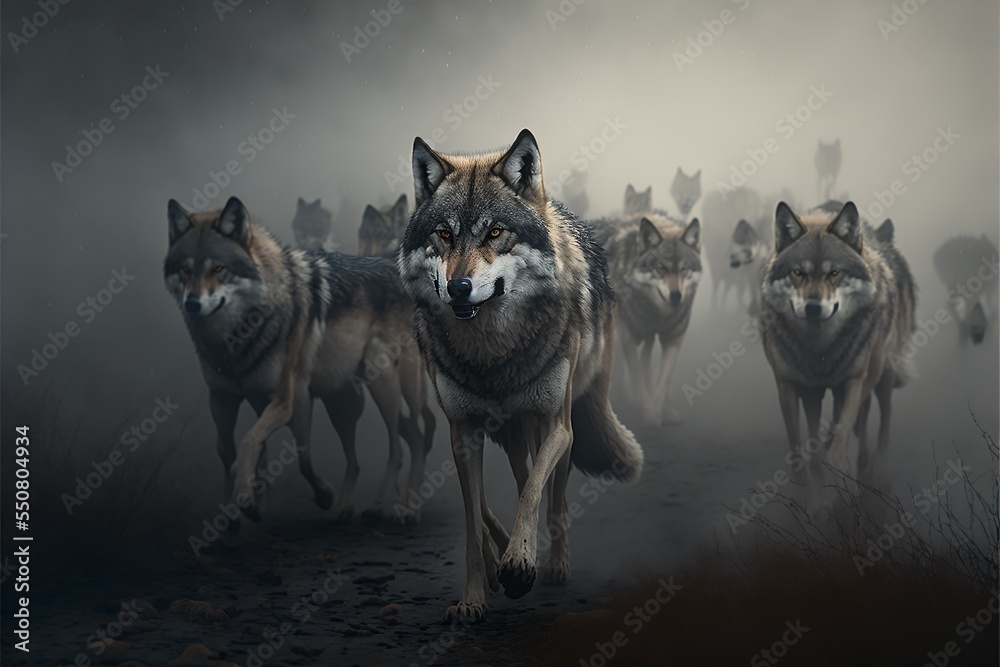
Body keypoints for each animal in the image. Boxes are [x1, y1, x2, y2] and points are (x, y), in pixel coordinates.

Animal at [164, 196, 435, 525]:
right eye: (184, 269)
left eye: (219, 269)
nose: (193, 304)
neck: (236, 340)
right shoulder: (223, 399)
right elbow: (233, 450)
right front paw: (237, 507)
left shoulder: (291, 400)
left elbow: (279, 450)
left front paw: (314, 495)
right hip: (344, 404)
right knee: (382, 447)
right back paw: (351, 508)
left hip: (388, 387)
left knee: (411, 440)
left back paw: (401, 509)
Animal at [399, 129, 644, 621]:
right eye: (444, 234)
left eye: (495, 232)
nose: (457, 287)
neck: (494, 355)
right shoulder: (463, 433)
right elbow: (475, 520)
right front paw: (475, 596)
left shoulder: (555, 425)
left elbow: (533, 495)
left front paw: (519, 566)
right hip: (509, 433)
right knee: (511, 484)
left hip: (554, 430)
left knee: (553, 496)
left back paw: (554, 566)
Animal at [598, 212, 702, 424]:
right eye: (661, 268)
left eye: (684, 269)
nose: (676, 296)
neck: (658, 316)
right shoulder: (628, 338)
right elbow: (636, 373)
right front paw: (646, 409)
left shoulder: (673, 339)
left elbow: (663, 380)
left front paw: (658, 410)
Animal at [759, 200, 915, 513]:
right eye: (798, 273)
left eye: (834, 273)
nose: (813, 307)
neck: (819, 350)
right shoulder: (789, 386)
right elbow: (800, 454)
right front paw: (808, 499)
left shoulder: (854, 381)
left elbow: (838, 444)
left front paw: (834, 494)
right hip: (818, 392)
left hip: (881, 376)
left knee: (880, 423)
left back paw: (875, 473)